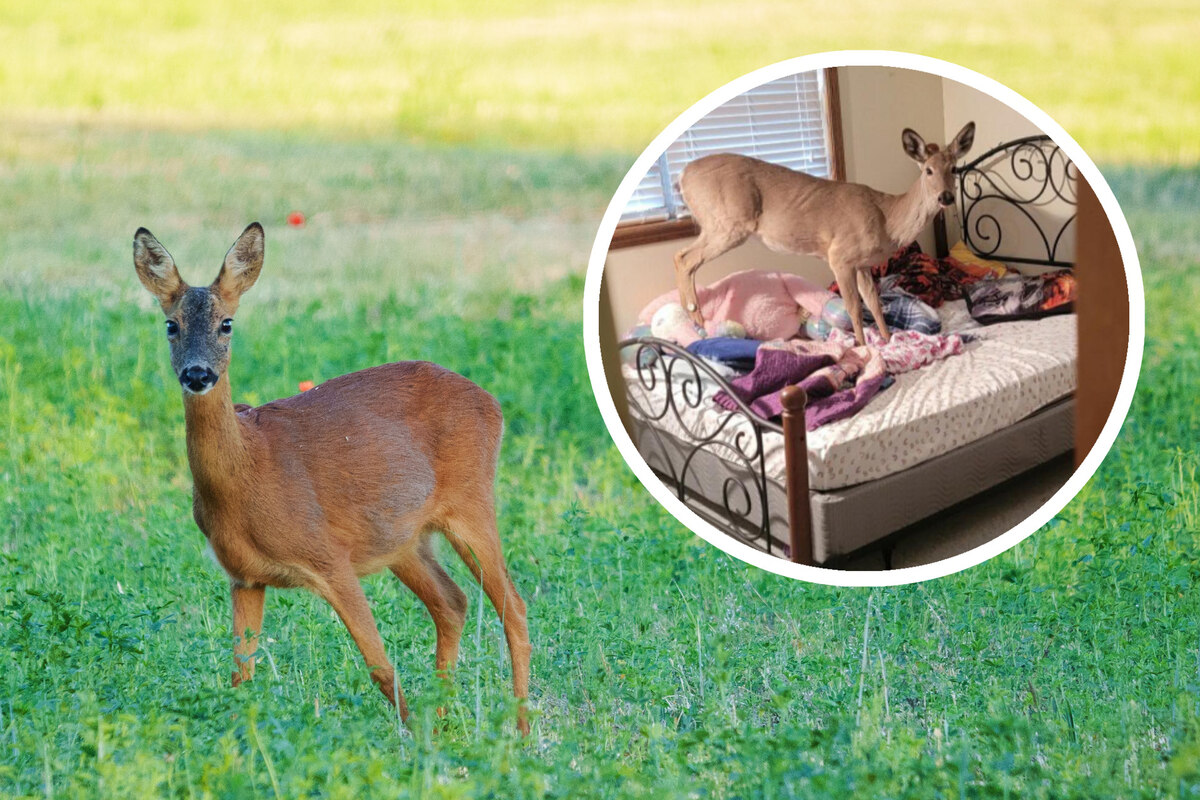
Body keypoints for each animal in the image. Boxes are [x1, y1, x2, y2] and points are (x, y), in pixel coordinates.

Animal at [133, 223, 532, 735]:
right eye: (171, 325)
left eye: (227, 323)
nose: (198, 374)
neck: (246, 476)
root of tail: (492, 402)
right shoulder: (244, 577)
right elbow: (240, 677)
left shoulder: (329, 558)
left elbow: (380, 666)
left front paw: (414, 737)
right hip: (403, 539)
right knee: (452, 602)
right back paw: (445, 718)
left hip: (471, 502)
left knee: (512, 607)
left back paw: (520, 731)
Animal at [673, 122, 976, 346]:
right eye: (928, 170)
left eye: (954, 168)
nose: (946, 197)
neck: (886, 219)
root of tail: (683, 176)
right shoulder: (840, 255)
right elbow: (854, 308)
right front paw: (864, 349)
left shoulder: (863, 264)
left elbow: (874, 304)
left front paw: (888, 339)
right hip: (728, 222)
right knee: (684, 258)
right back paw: (696, 321)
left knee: (681, 256)